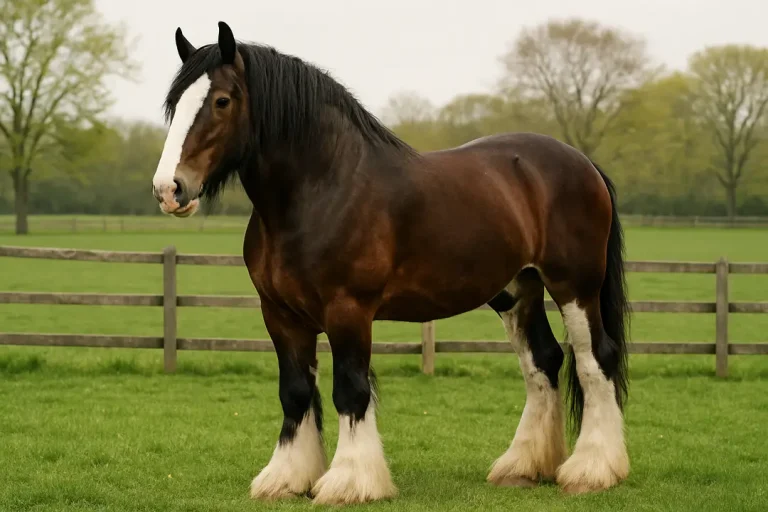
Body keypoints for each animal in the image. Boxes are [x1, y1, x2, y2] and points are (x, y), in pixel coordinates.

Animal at [151, 21, 631, 505]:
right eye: (174, 103)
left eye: (221, 101)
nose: (170, 189)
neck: (322, 189)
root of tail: (582, 162)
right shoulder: (281, 315)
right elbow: (296, 391)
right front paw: (287, 477)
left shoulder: (348, 310)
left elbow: (351, 390)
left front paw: (350, 480)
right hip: (517, 290)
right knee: (543, 362)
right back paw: (524, 467)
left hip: (575, 287)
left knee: (595, 360)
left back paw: (593, 470)